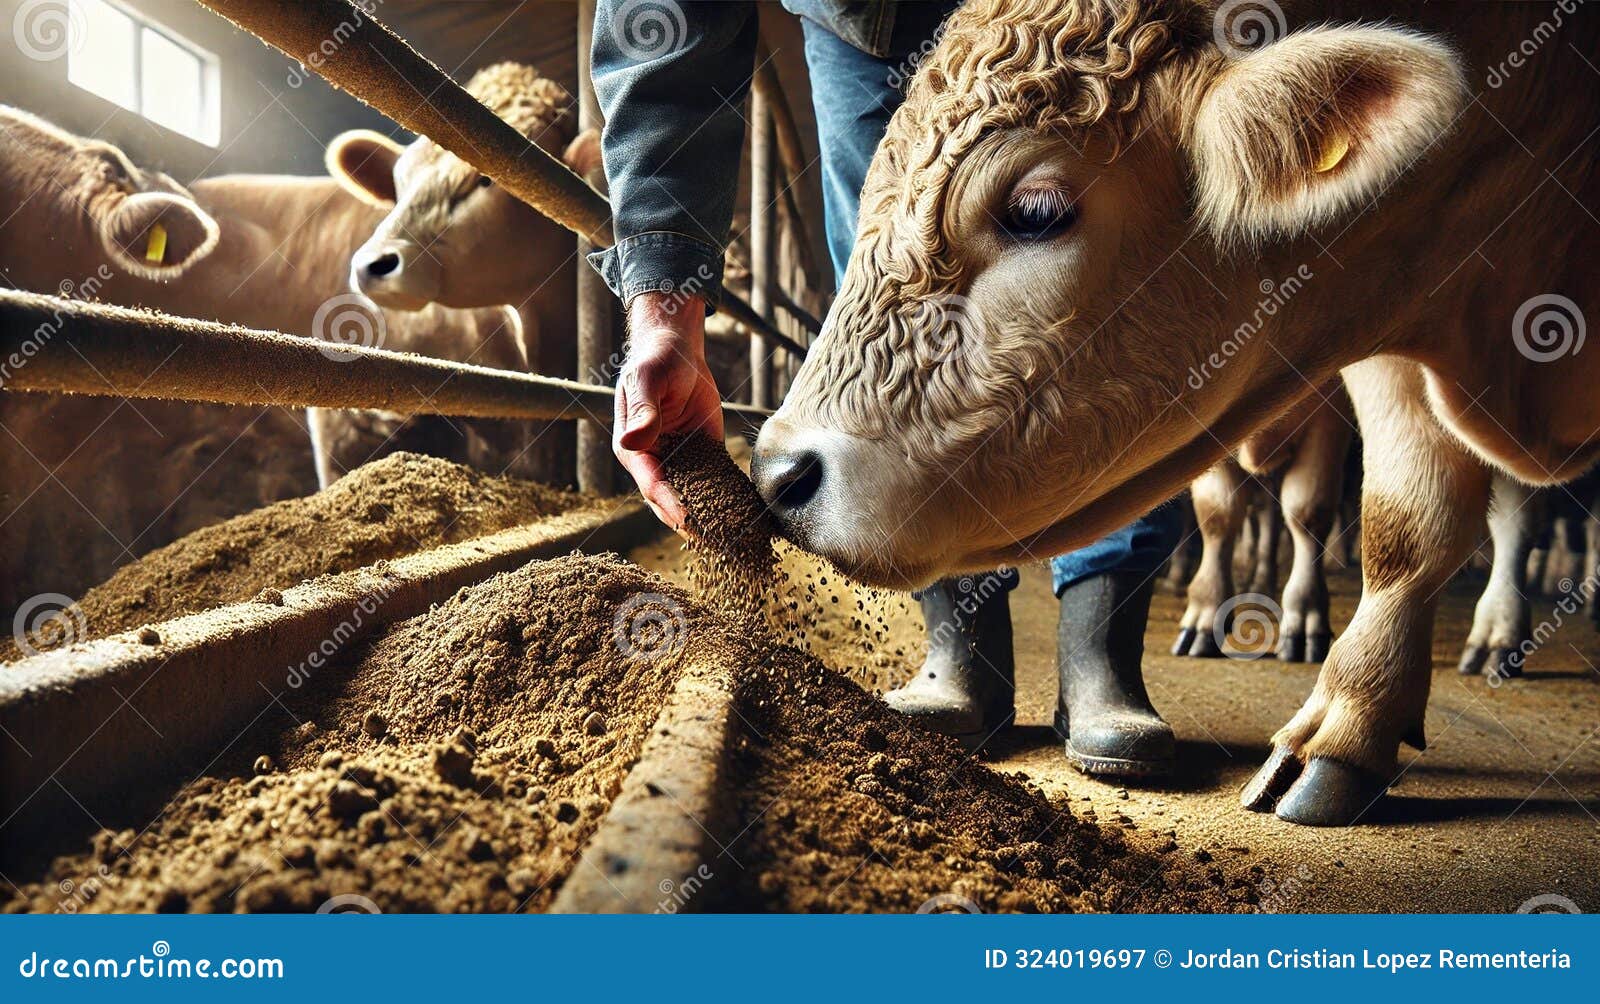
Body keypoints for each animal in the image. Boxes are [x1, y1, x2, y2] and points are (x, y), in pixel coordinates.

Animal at [749, 0, 1598, 825]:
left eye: (1035, 211)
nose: (778, 471)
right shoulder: (1387, 329)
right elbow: (1393, 523)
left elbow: (1357, 519)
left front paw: (1336, 716)